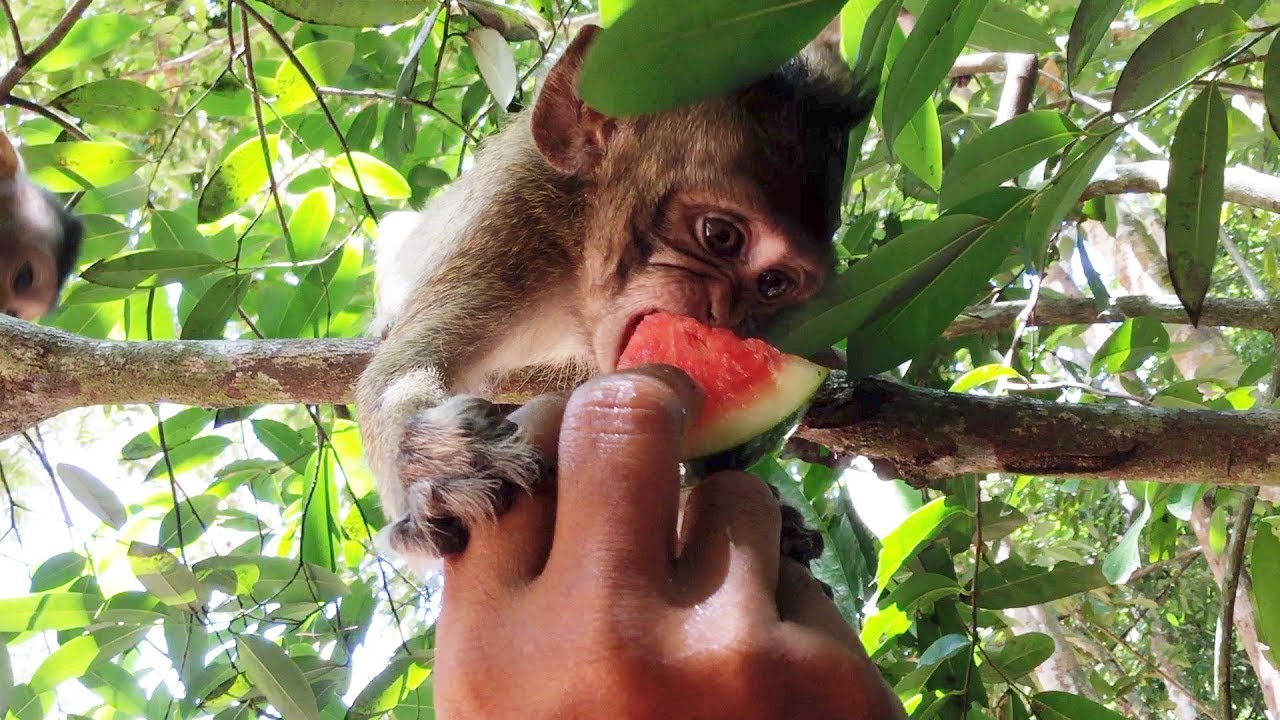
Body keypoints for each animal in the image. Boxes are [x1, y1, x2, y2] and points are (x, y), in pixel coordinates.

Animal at [356, 22, 870, 561]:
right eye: (721, 236)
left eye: (773, 285)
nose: (725, 317)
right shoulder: (516, 220)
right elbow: (399, 373)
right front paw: (440, 460)